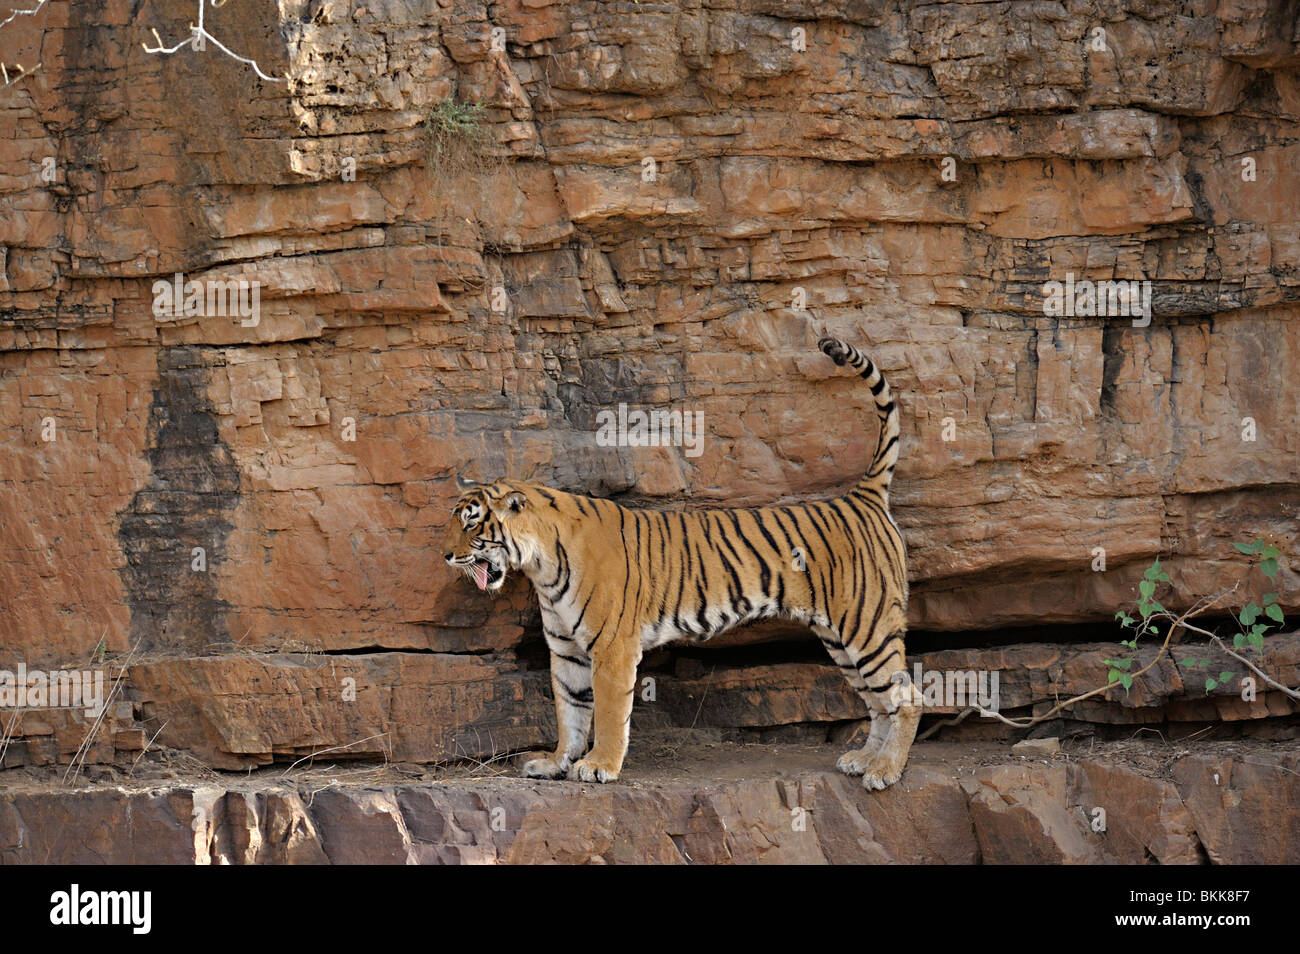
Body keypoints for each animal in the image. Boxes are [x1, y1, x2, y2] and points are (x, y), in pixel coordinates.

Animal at [443, 337, 919, 789]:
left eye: (471, 524)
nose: (446, 555)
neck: (541, 567)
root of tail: (861, 495)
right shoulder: (565, 650)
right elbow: (570, 712)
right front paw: (557, 762)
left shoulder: (612, 647)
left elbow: (609, 712)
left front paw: (599, 766)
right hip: (839, 638)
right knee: (877, 702)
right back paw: (865, 761)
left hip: (868, 625)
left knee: (906, 697)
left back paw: (886, 771)